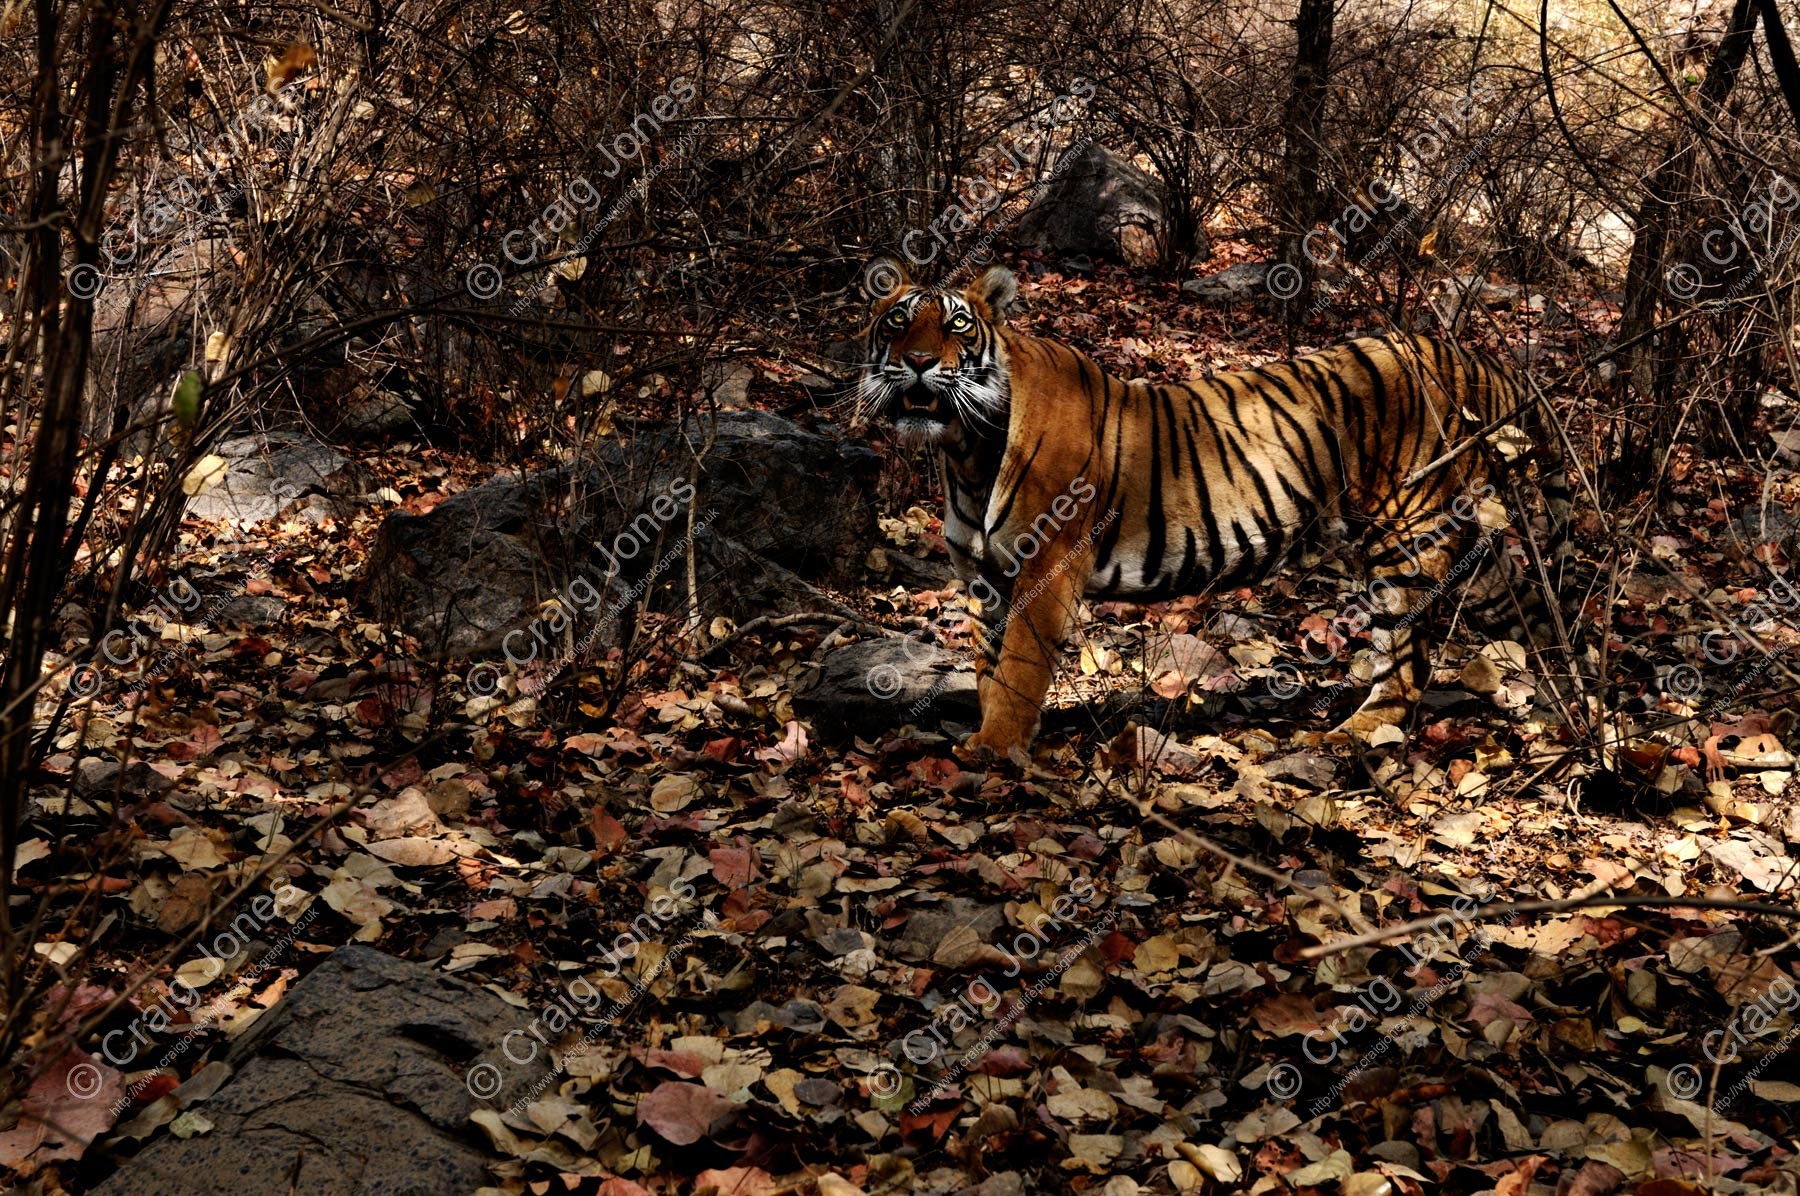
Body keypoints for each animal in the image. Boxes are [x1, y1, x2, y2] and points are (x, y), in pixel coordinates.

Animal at [852, 256, 1578, 760]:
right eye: (898, 321)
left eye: (956, 324)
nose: (919, 362)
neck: (967, 450)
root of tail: (1479, 357)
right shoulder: (983, 577)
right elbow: (986, 664)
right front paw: (987, 729)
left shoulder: (1046, 568)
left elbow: (1019, 668)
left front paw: (995, 748)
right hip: (1458, 543)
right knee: (1520, 602)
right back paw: (1556, 696)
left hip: (1405, 532)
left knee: (1406, 658)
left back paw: (1347, 735)